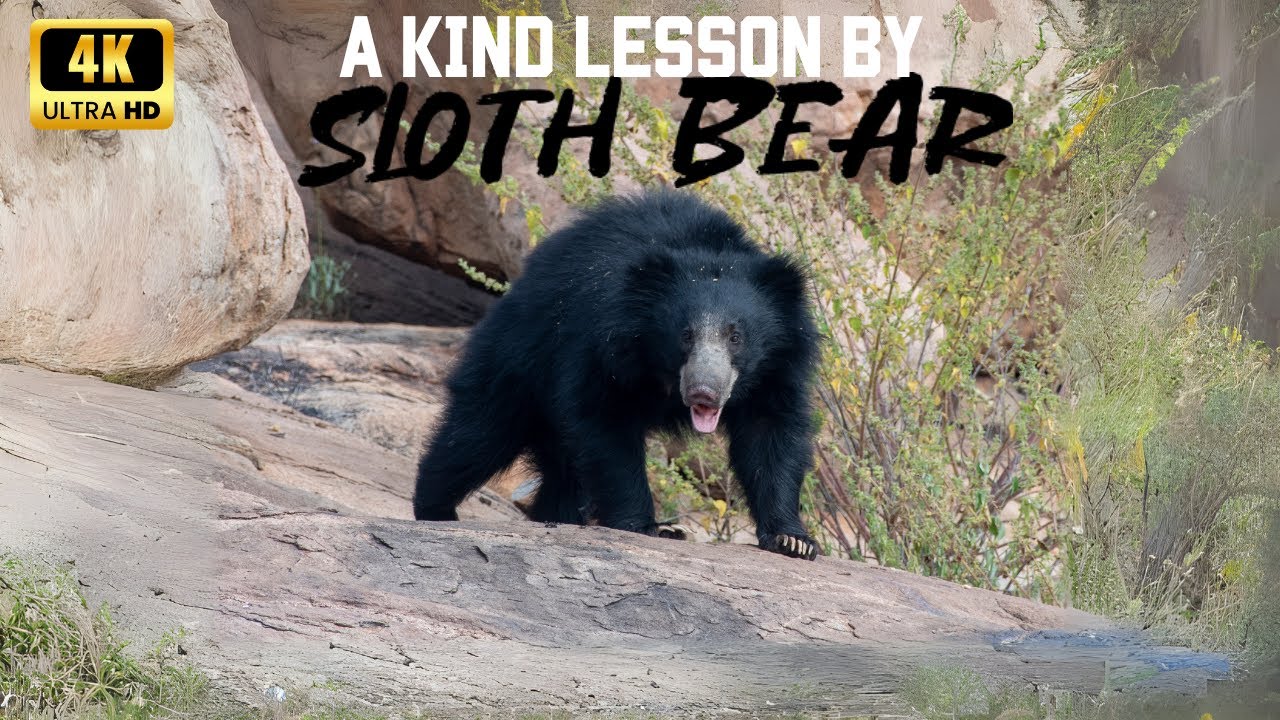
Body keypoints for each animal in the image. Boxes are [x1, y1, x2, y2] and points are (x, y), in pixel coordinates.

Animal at [413, 191, 821, 560]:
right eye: (685, 335)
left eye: (736, 336)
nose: (703, 392)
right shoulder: (602, 345)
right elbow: (605, 424)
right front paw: (649, 528)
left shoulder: (779, 366)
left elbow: (770, 434)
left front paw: (792, 540)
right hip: (520, 356)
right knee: (478, 433)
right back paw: (435, 510)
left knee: (559, 472)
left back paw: (553, 519)